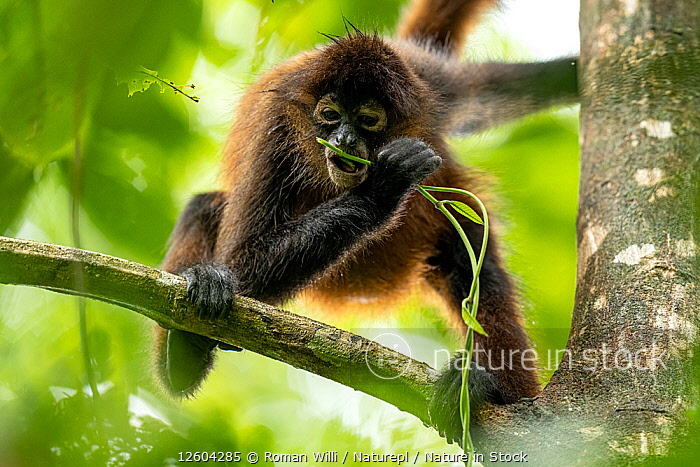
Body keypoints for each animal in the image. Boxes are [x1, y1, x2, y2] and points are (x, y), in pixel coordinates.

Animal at [153, 0, 578, 444]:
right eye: (330, 115)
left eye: (367, 121)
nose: (343, 141)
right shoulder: (274, 127)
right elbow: (242, 260)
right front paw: (382, 189)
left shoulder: (432, 87)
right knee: (204, 209)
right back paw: (183, 356)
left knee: (474, 264)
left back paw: (492, 390)